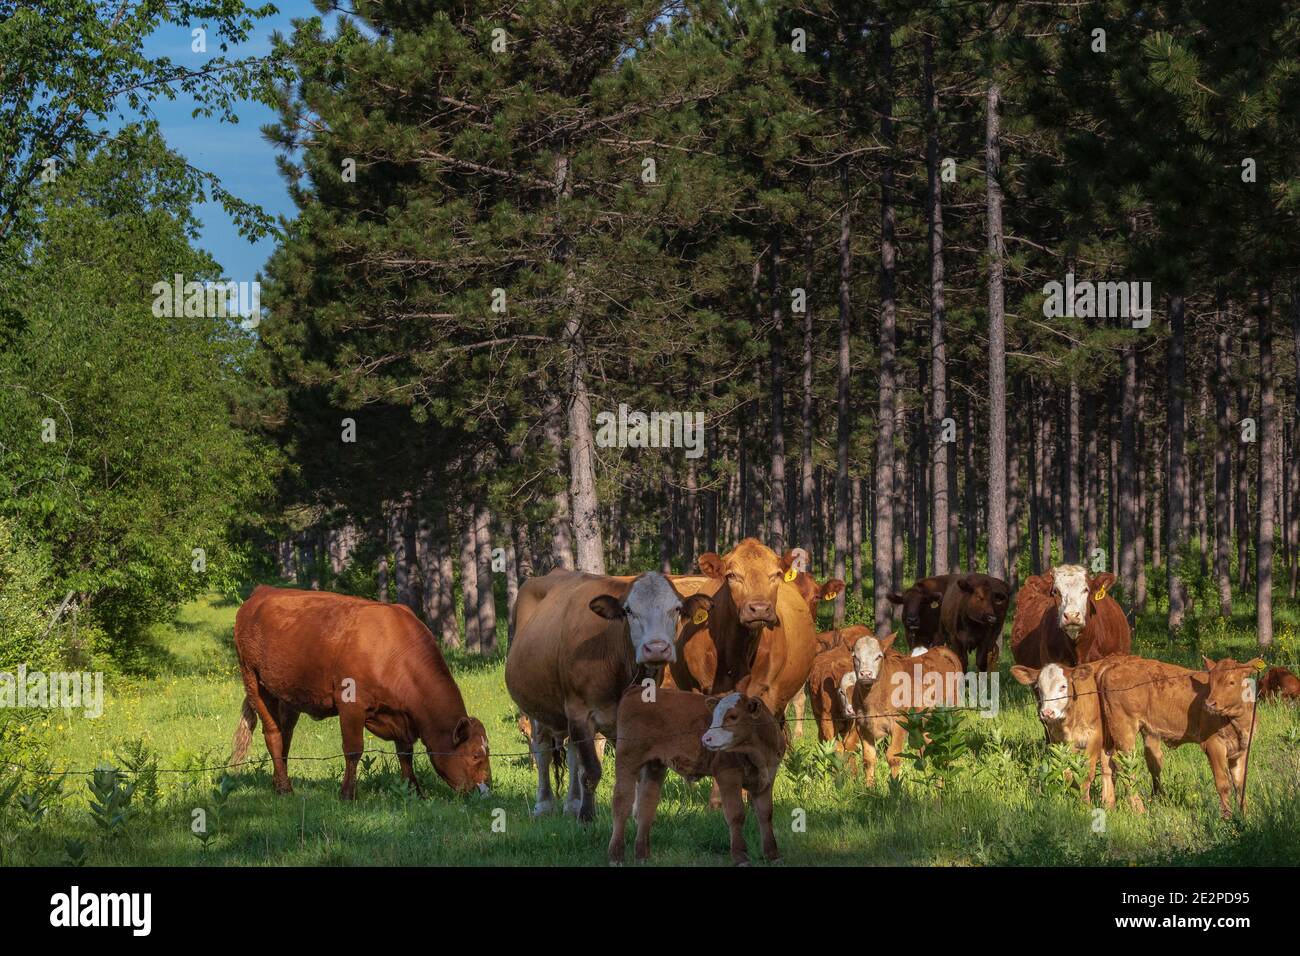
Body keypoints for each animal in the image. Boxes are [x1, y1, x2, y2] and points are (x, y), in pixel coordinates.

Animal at [229, 585, 490, 800]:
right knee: (273, 733)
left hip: (288, 694)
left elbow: (405, 753)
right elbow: (354, 750)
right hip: (253, 679)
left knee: (286, 735)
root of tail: (263, 591)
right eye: (476, 755)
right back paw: (285, 788)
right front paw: (348, 794)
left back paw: (278, 782)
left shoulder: (402, 716)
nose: (487, 789)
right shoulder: (351, 705)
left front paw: (414, 791)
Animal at [505, 569, 712, 821]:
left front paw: (635, 814)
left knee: (572, 754)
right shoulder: (580, 712)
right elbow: (591, 770)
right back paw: (544, 804)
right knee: (543, 749)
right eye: (628, 610)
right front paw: (586, 817)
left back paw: (572, 803)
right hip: (537, 709)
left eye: (676, 609)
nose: (656, 648)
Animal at [608, 688, 784, 866]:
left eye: (734, 716)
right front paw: (740, 857)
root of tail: (635, 689)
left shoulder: (768, 778)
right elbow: (736, 815)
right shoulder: (727, 774)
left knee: (646, 806)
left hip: (654, 765)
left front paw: (773, 855)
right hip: (627, 759)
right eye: (714, 717)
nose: (706, 738)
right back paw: (616, 856)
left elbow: (766, 814)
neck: (759, 754)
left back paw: (642, 856)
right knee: (621, 804)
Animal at [1010, 657, 1136, 805]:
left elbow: (1087, 773)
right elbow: (1067, 773)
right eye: (1038, 688)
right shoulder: (1057, 741)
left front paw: (1085, 804)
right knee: (1108, 766)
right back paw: (1109, 803)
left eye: (1063, 686)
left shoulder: (1094, 738)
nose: (1047, 712)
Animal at [1095, 655, 1263, 818]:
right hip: (1125, 729)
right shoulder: (1213, 744)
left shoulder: (1242, 749)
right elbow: (1223, 784)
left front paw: (1245, 816)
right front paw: (1227, 817)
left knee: (1106, 761)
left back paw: (1109, 804)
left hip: (1111, 732)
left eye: (1231, 682)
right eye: (1211, 682)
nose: (1209, 703)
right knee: (1125, 766)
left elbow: (1240, 784)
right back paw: (1139, 809)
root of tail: (1114, 665)